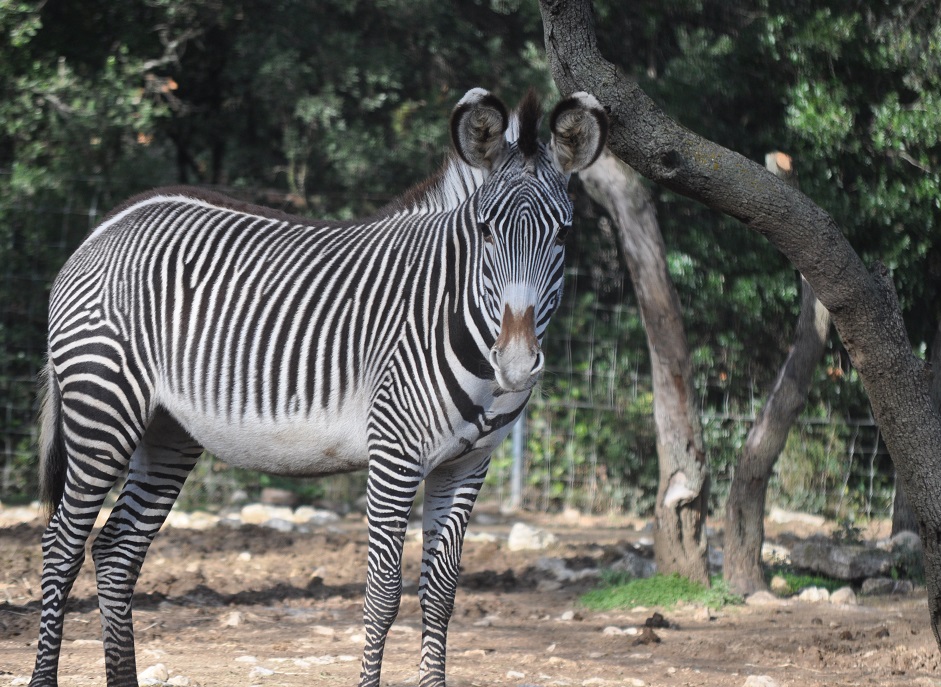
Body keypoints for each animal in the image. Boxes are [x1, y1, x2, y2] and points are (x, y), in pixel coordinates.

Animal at [30, 87, 607, 687]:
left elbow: (441, 595)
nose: (515, 364)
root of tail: (111, 223)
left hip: (167, 430)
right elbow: (383, 594)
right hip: (103, 408)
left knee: (116, 551)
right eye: (487, 230)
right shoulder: (395, 455)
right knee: (62, 544)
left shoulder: (469, 464)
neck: (453, 308)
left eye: (564, 233)